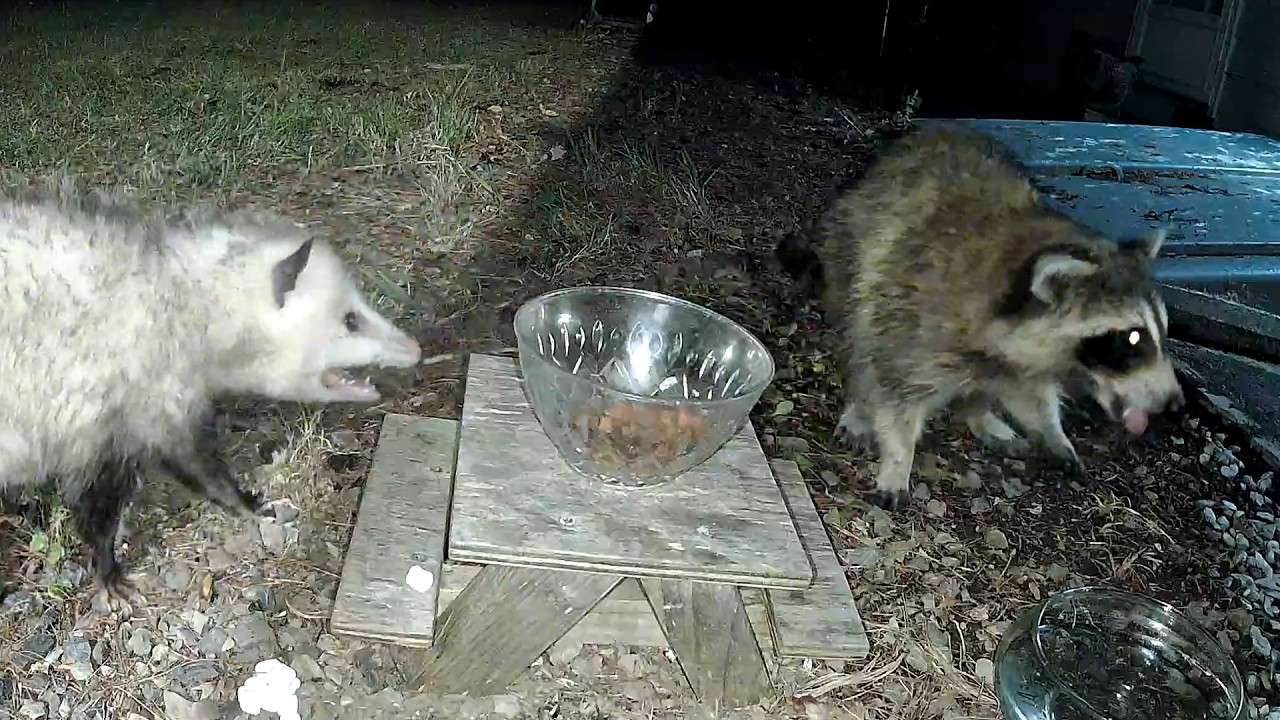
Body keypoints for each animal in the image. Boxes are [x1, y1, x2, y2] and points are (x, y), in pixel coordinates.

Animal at [0, 178, 423, 602]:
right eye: (351, 320)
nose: (415, 349)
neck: (188, 302)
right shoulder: (118, 414)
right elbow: (156, 480)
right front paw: (109, 572)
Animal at [787, 124, 1184, 509]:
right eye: (1133, 337)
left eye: (1163, 331)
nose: (1176, 405)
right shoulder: (909, 312)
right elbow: (894, 390)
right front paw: (898, 457)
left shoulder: (1019, 359)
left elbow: (1031, 392)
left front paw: (1051, 429)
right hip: (846, 258)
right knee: (857, 337)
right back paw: (860, 405)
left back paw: (980, 413)